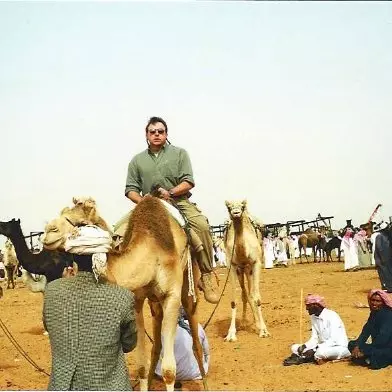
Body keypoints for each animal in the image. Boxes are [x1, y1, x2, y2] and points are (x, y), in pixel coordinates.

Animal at [41, 196, 208, 392]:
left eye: (81, 223)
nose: (48, 231)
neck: (152, 249)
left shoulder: (172, 295)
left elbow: (169, 371)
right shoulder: (136, 299)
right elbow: (142, 365)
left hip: (189, 283)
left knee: (196, 341)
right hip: (155, 302)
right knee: (157, 342)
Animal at [224, 201, 270, 342]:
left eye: (242, 206)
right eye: (229, 207)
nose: (236, 213)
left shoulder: (256, 264)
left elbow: (257, 298)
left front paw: (263, 331)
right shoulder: (233, 266)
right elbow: (234, 300)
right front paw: (231, 334)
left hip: (249, 270)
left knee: (251, 294)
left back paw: (257, 323)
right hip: (242, 271)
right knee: (245, 294)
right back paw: (245, 322)